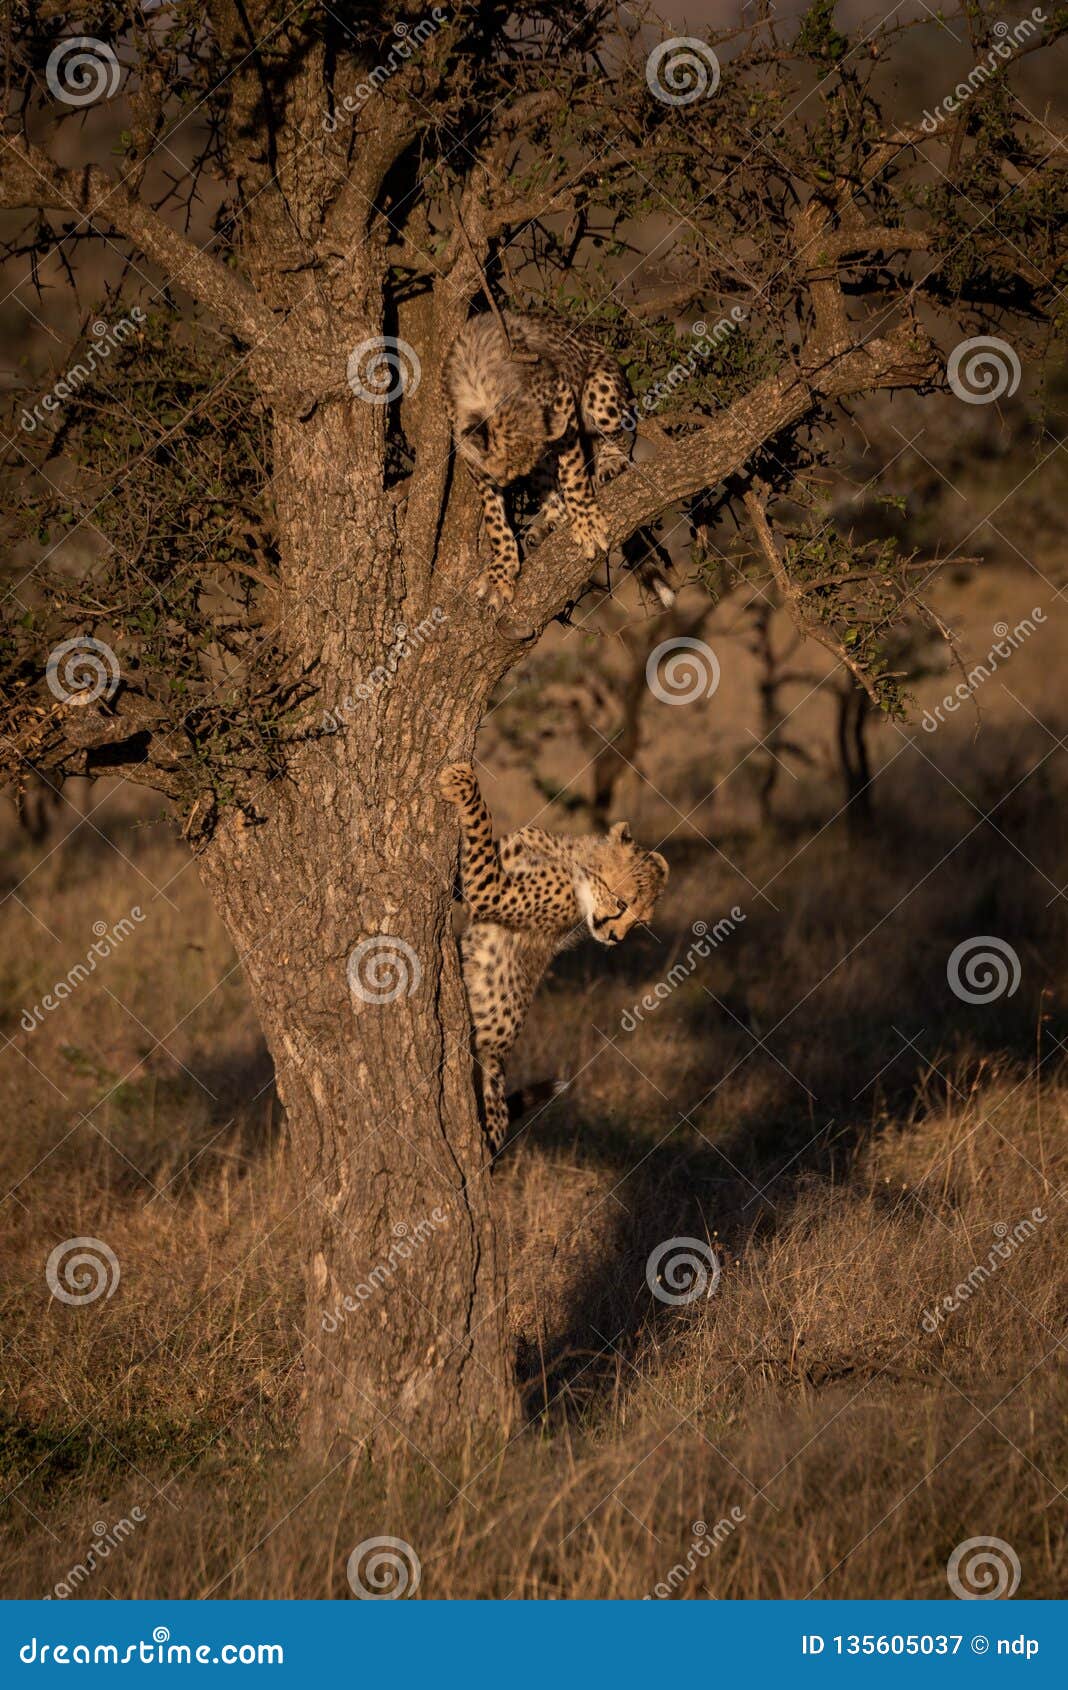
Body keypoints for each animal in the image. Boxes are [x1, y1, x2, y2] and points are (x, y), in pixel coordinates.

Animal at [438, 760, 669, 1156]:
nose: (615, 938)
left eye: (639, 924)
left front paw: (465, 782)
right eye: (622, 904)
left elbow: (482, 822)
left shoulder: (492, 891)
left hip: (491, 1081)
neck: (571, 858)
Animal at [443, 310, 638, 613]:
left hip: (600, 389)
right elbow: (494, 518)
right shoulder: (471, 454)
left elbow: (573, 473)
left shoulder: (562, 401)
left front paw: (587, 523)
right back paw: (548, 523)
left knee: (617, 434)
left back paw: (610, 463)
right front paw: (501, 573)